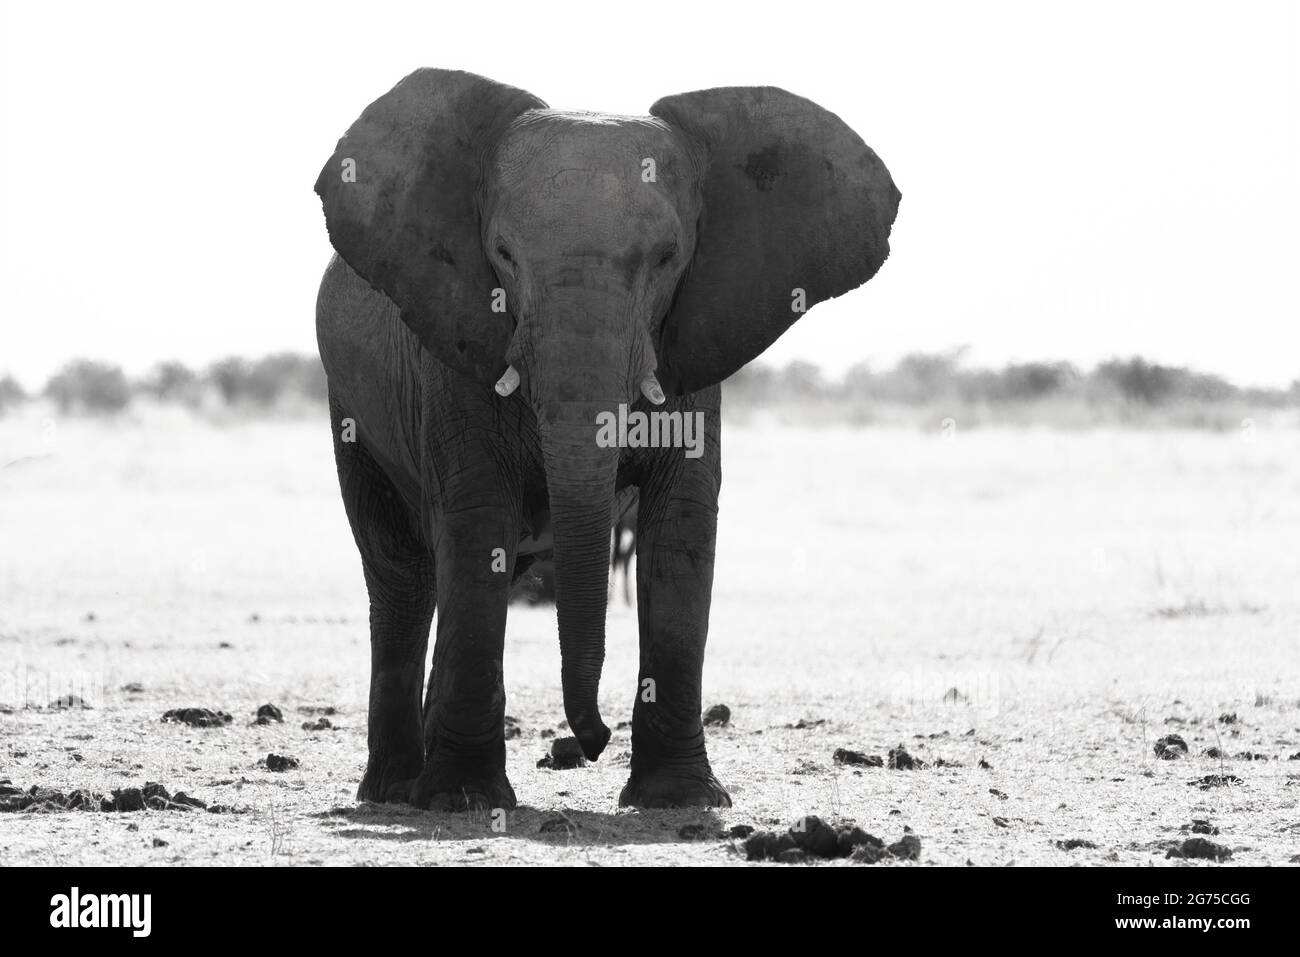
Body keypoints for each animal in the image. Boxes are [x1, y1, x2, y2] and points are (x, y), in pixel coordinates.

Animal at [314, 68, 899, 810]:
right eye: (503, 255)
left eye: (668, 258)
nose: (589, 743)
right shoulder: (455, 348)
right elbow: (478, 518)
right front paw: (465, 801)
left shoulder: (691, 343)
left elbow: (680, 528)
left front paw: (678, 798)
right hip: (350, 409)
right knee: (404, 575)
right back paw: (395, 791)